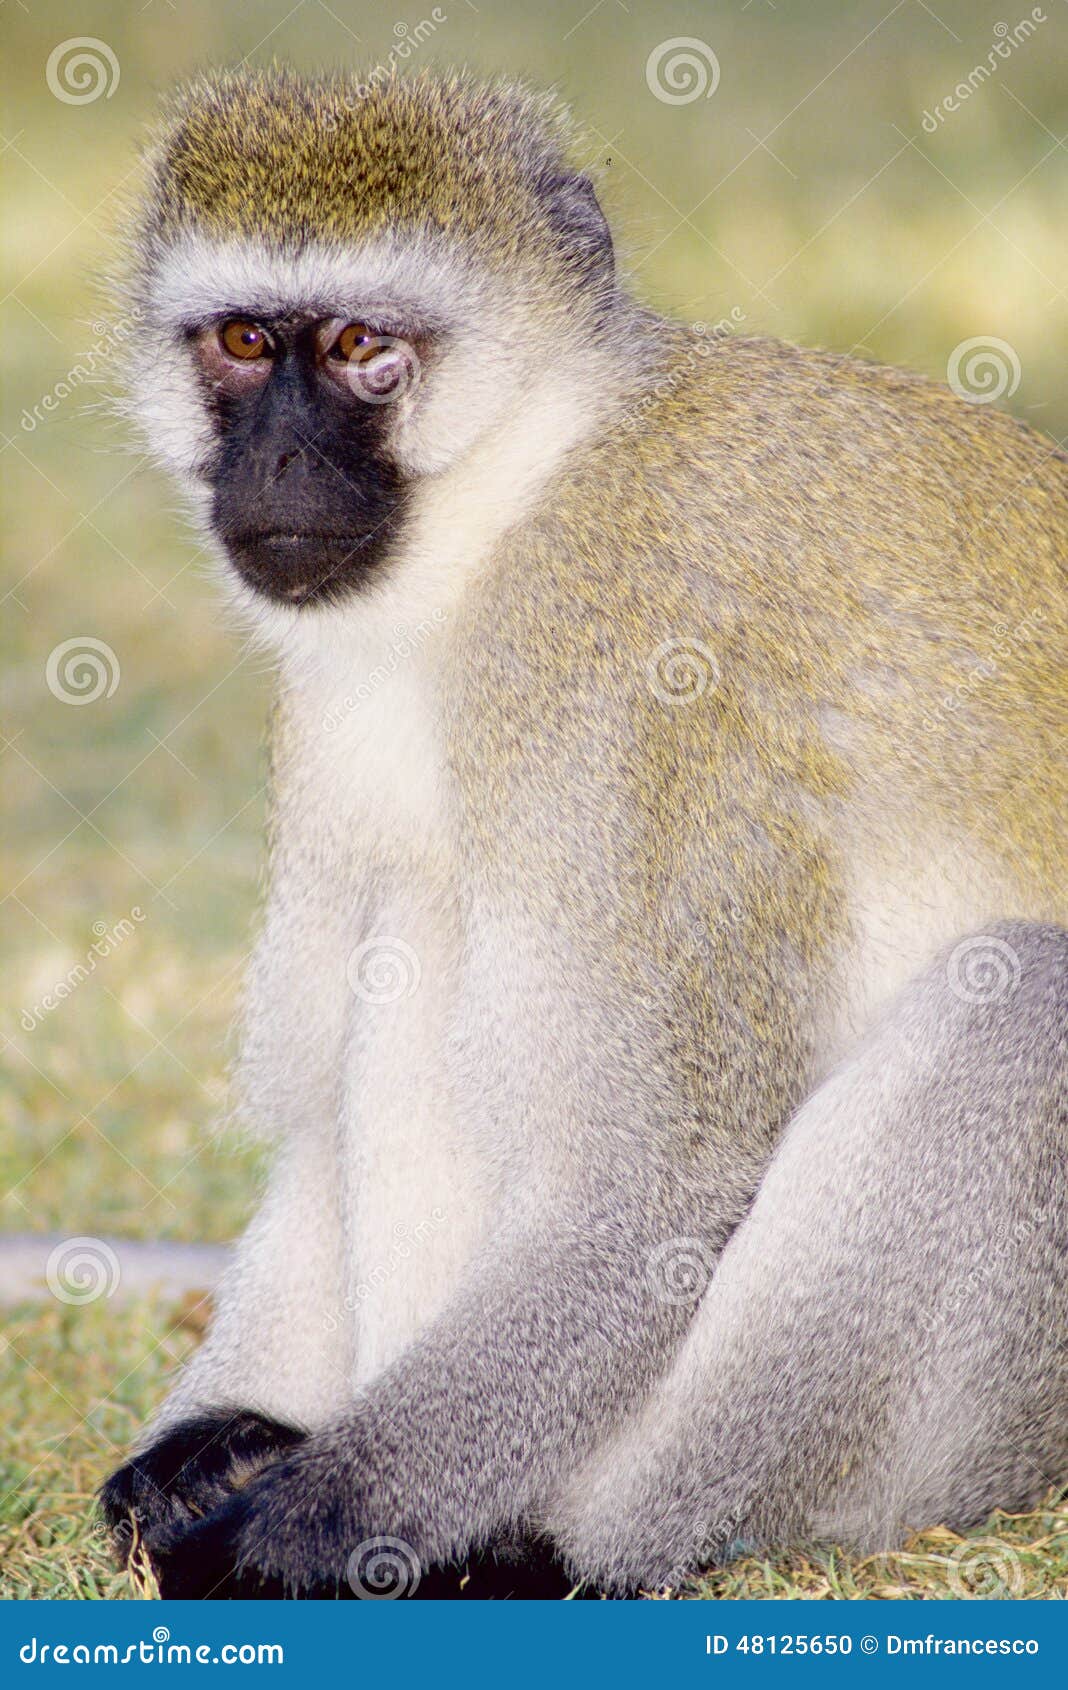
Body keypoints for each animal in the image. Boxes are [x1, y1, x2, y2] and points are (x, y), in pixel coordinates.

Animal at [98, 66, 1067, 1600]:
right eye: (246, 341)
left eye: (365, 348)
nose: (281, 457)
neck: (517, 492)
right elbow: (322, 1100)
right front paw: (216, 1437)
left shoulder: (620, 676)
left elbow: (639, 1199)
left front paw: (303, 1521)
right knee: (421, 907)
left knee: (1023, 1004)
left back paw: (558, 1545)